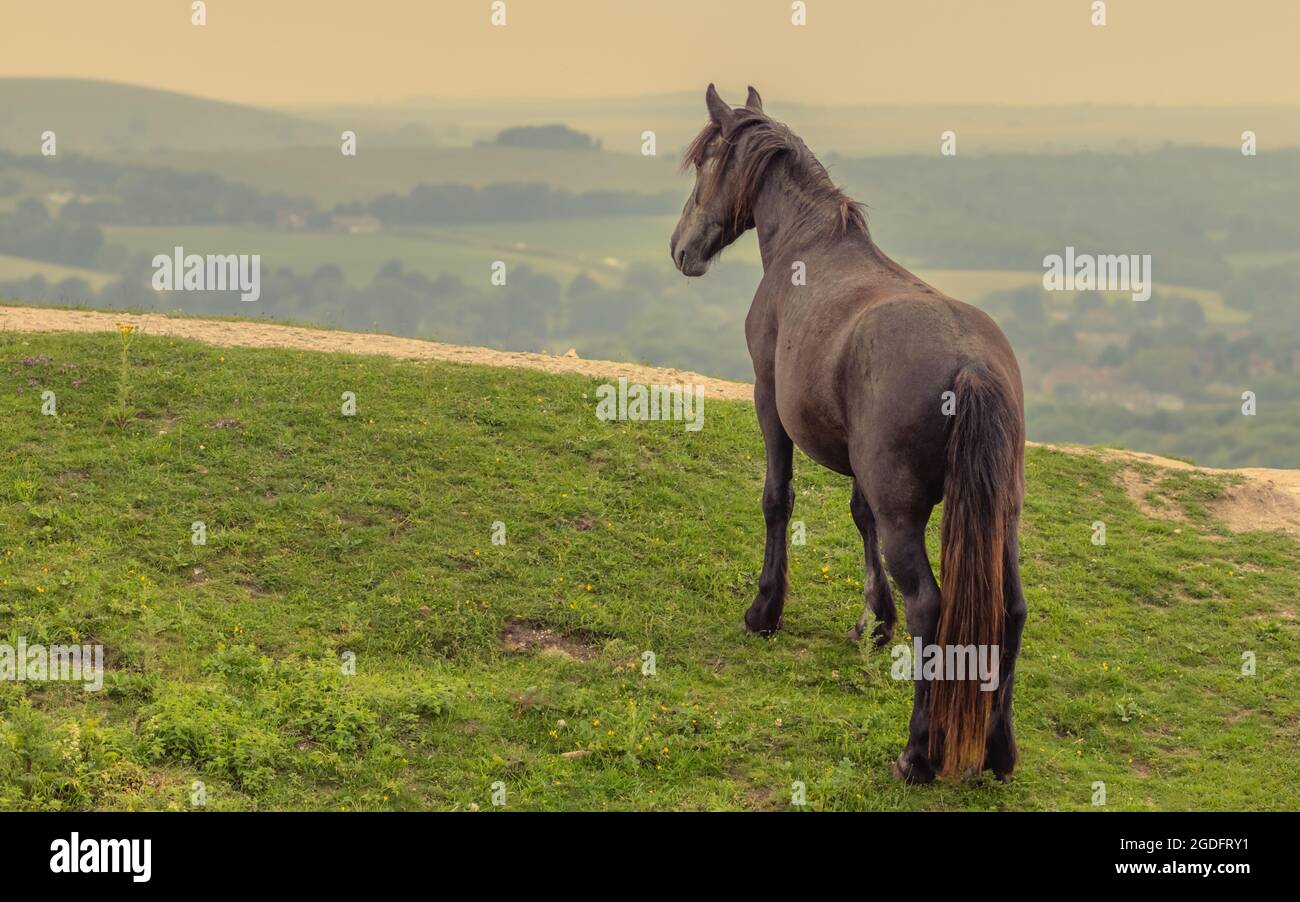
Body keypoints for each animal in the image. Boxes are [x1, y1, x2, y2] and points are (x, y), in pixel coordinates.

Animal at [669, 85, 1027, 784]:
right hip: (1001, 517)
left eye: (704, 162)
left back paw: (917, 753)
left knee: (931, 607)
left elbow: (777, 500)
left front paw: (765, 611)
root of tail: (970, 365)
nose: (680, 249)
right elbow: (859, 515)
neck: (809, 248)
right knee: (1012, 610)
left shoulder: (767, 401)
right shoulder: (864, 473)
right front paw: (872, 621)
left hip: (908, 517)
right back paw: (999, 751)